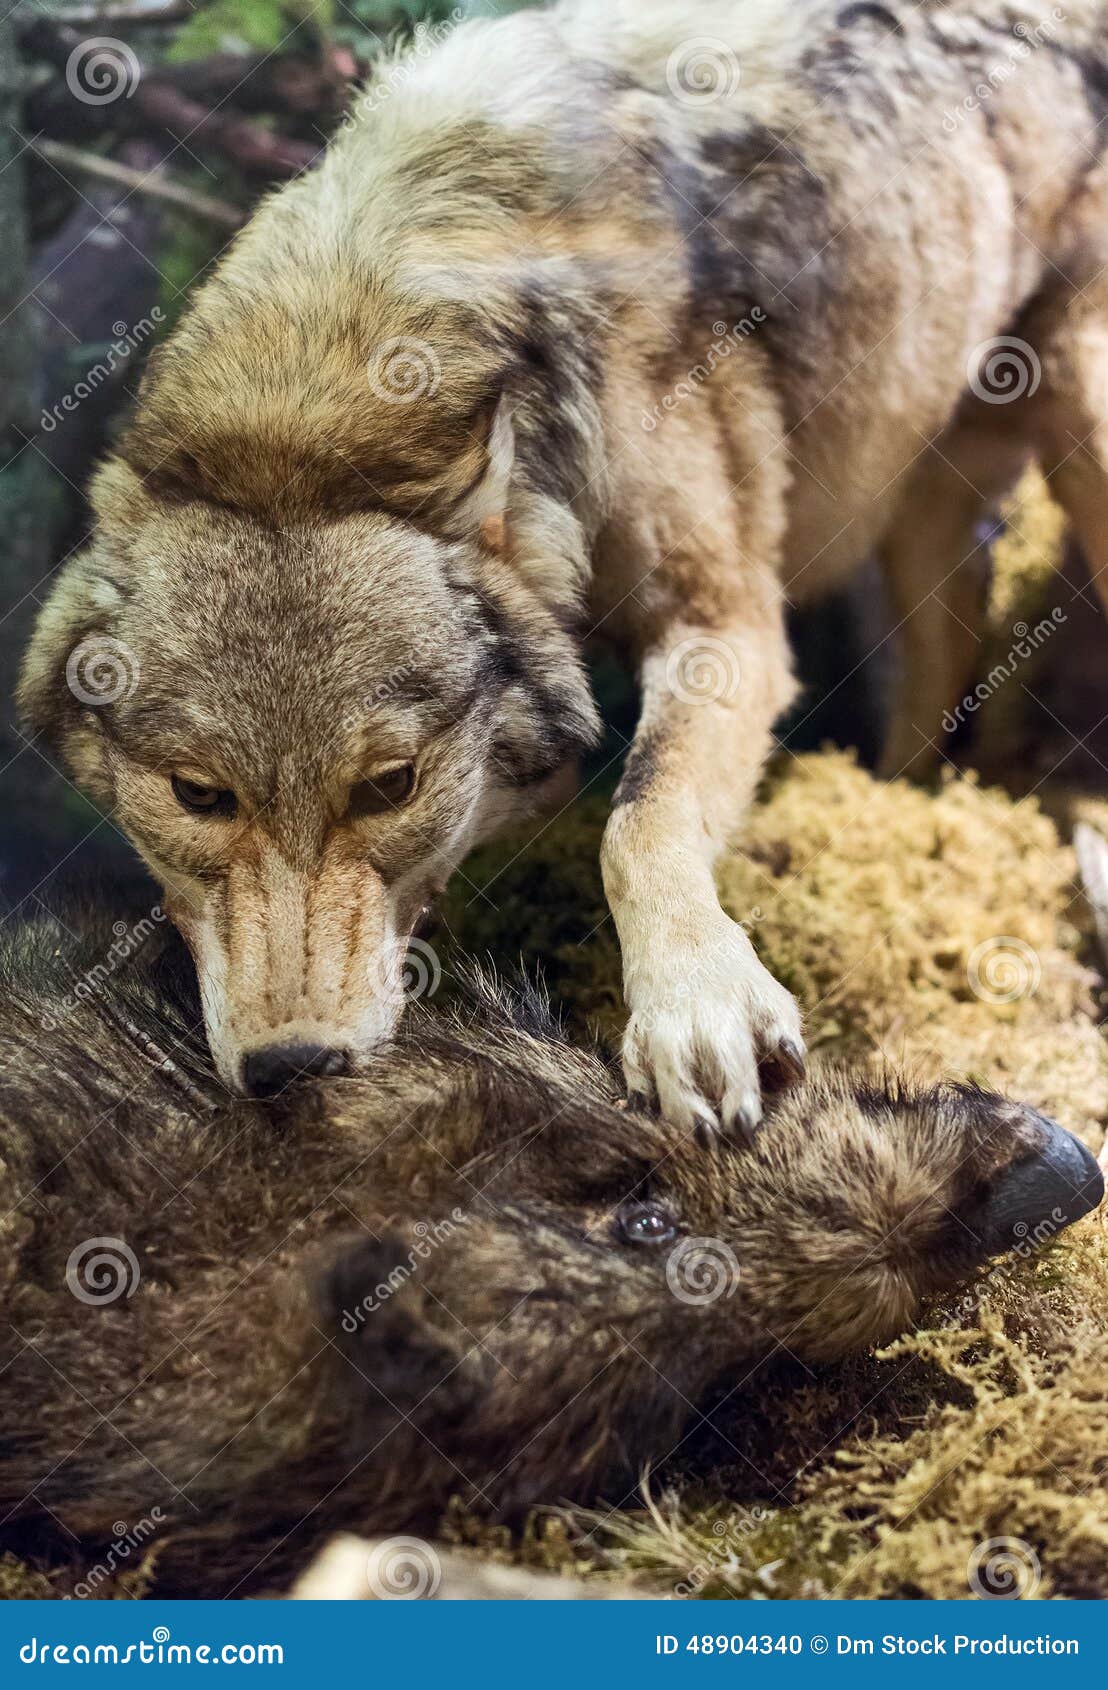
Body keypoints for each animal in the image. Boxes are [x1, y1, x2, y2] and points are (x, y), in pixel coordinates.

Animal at [19, 0, 1108, 1129]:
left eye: (390, 785)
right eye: (198, 795)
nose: (294, 1068)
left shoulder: (725, 625)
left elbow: (637, 818)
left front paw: (695, 1004)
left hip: (1082, 430)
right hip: (916, 493)